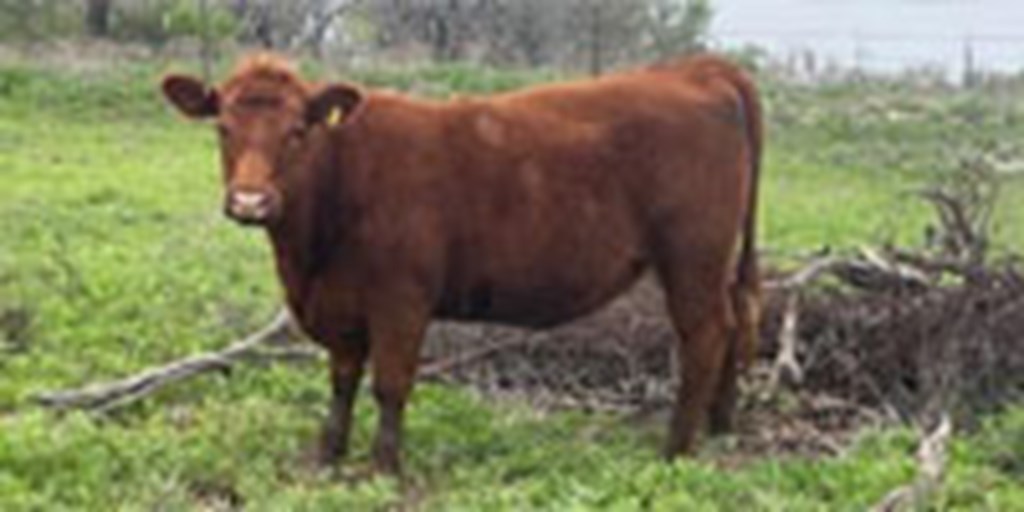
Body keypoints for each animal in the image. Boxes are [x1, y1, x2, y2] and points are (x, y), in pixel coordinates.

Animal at [162, 52, 762, 475]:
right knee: (737, 322)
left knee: (707, 335)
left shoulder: (402, 299)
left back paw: (676, 448)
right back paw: (719, 425)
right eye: (222, 128)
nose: (250, 202)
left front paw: (383, 466)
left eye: (297, 131)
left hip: (693, 258)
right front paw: (329, 453)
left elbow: (390, 383)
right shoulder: (342, 304)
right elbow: (342, 380)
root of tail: (696, 69)